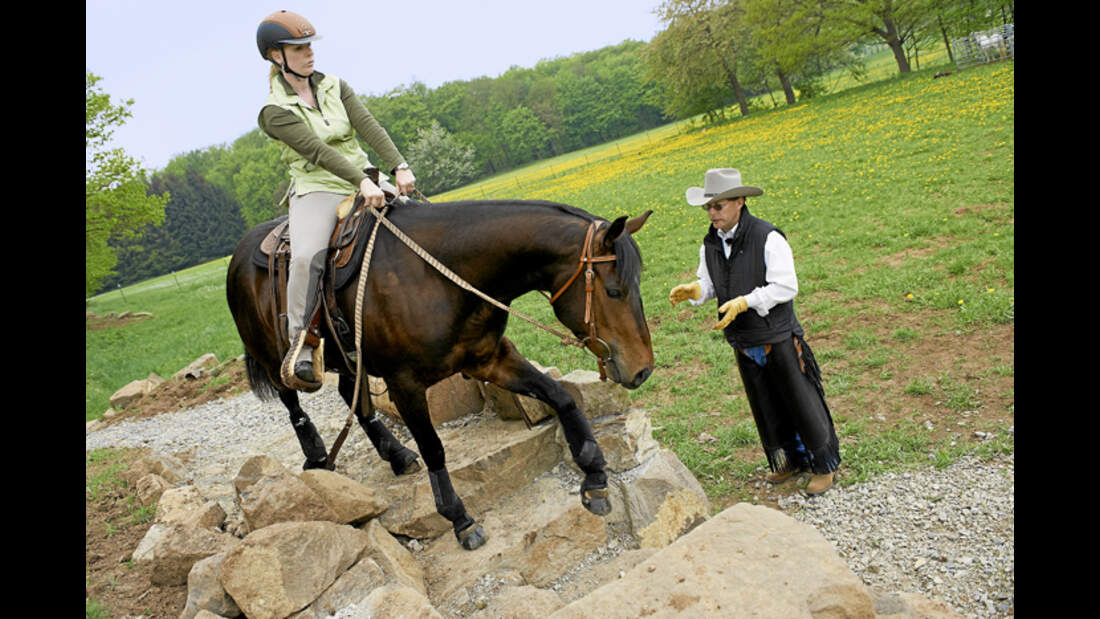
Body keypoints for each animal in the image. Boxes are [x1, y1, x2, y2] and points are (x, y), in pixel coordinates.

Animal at [225, 198, 654, 550]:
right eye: (614, 290)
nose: (643, 369)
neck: (441, 276)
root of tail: (240, 251)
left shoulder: (490, 358)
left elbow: (561, 396)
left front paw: (594, 476)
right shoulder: (404, 385)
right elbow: (434, 448)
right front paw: (459, 518)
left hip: (350, 358)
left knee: (354, 397)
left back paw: (396, 454)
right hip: (272, 357)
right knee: (291, 400)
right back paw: (316, 453)